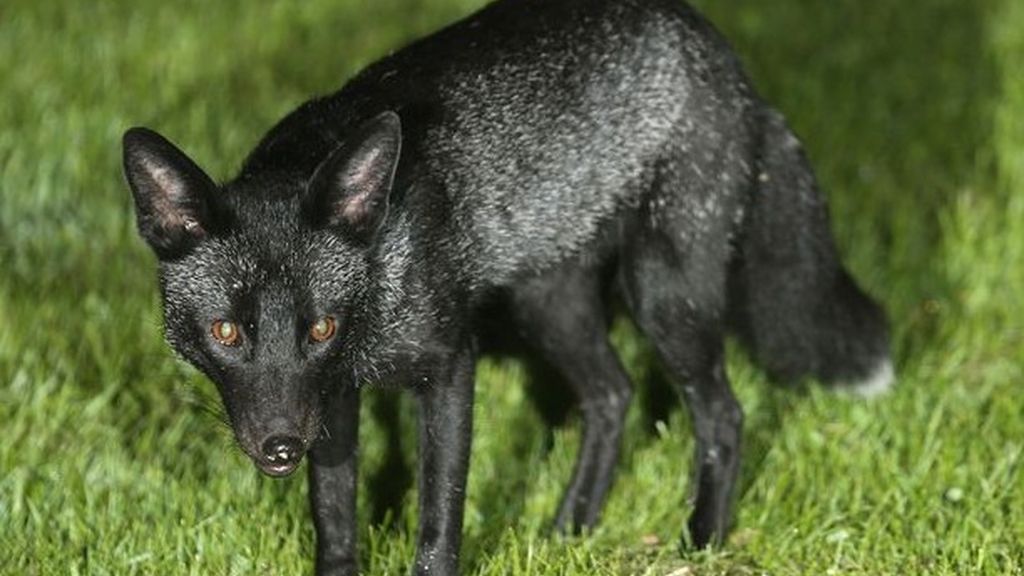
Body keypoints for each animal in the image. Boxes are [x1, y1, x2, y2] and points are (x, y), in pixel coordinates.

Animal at [122, 0, 892, 574]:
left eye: (320, 327)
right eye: (227, 332)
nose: (280, 449)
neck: (385, 270)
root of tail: (724, 58)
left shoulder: (446, 369)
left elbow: (438, 525)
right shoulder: (332, 398)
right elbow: (336, 522)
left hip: (662, 296)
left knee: (723, 417)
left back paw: (699, 541)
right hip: (547, 304)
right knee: (613, 394)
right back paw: (572, 527)